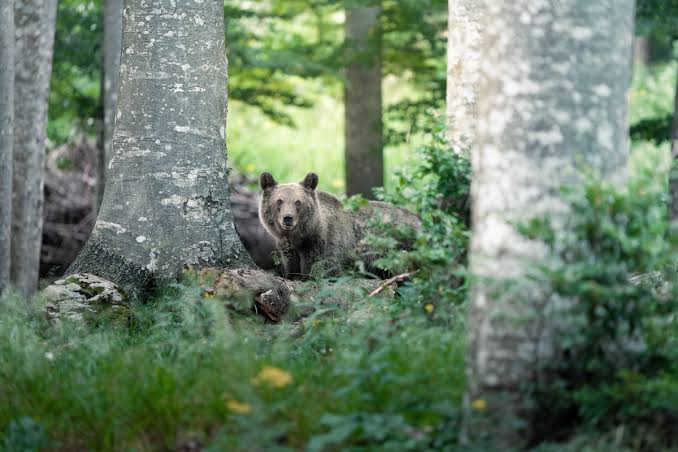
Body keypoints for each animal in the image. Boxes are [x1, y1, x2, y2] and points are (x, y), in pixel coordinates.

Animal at [258, 171, 420, 279]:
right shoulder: (289, 248)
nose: (288, 218)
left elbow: (320, 269)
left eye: (298, 202)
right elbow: (291, 267)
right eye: (279, 201)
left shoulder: (323, 246)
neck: (302, 237)